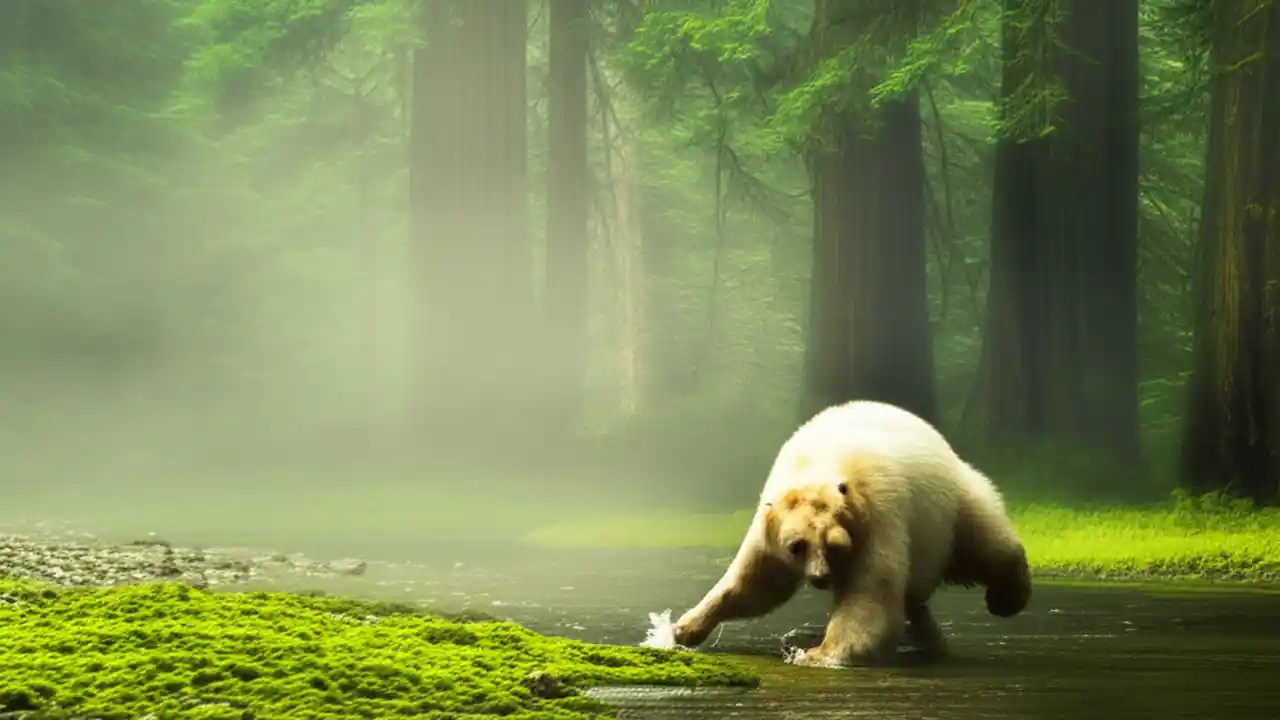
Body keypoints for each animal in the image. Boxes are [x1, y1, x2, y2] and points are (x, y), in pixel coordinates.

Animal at [670, 399, 1031, 668]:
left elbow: (869, 593)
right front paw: (684, 628)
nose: (820, 577)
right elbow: (757, 583)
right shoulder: (769, 520)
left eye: (834, 545)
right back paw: (928, 635)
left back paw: (1005, 599)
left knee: (985, 545)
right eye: (797, 546)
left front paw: (817, 654)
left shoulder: (878, 515)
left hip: (950, 506)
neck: (816, 464)